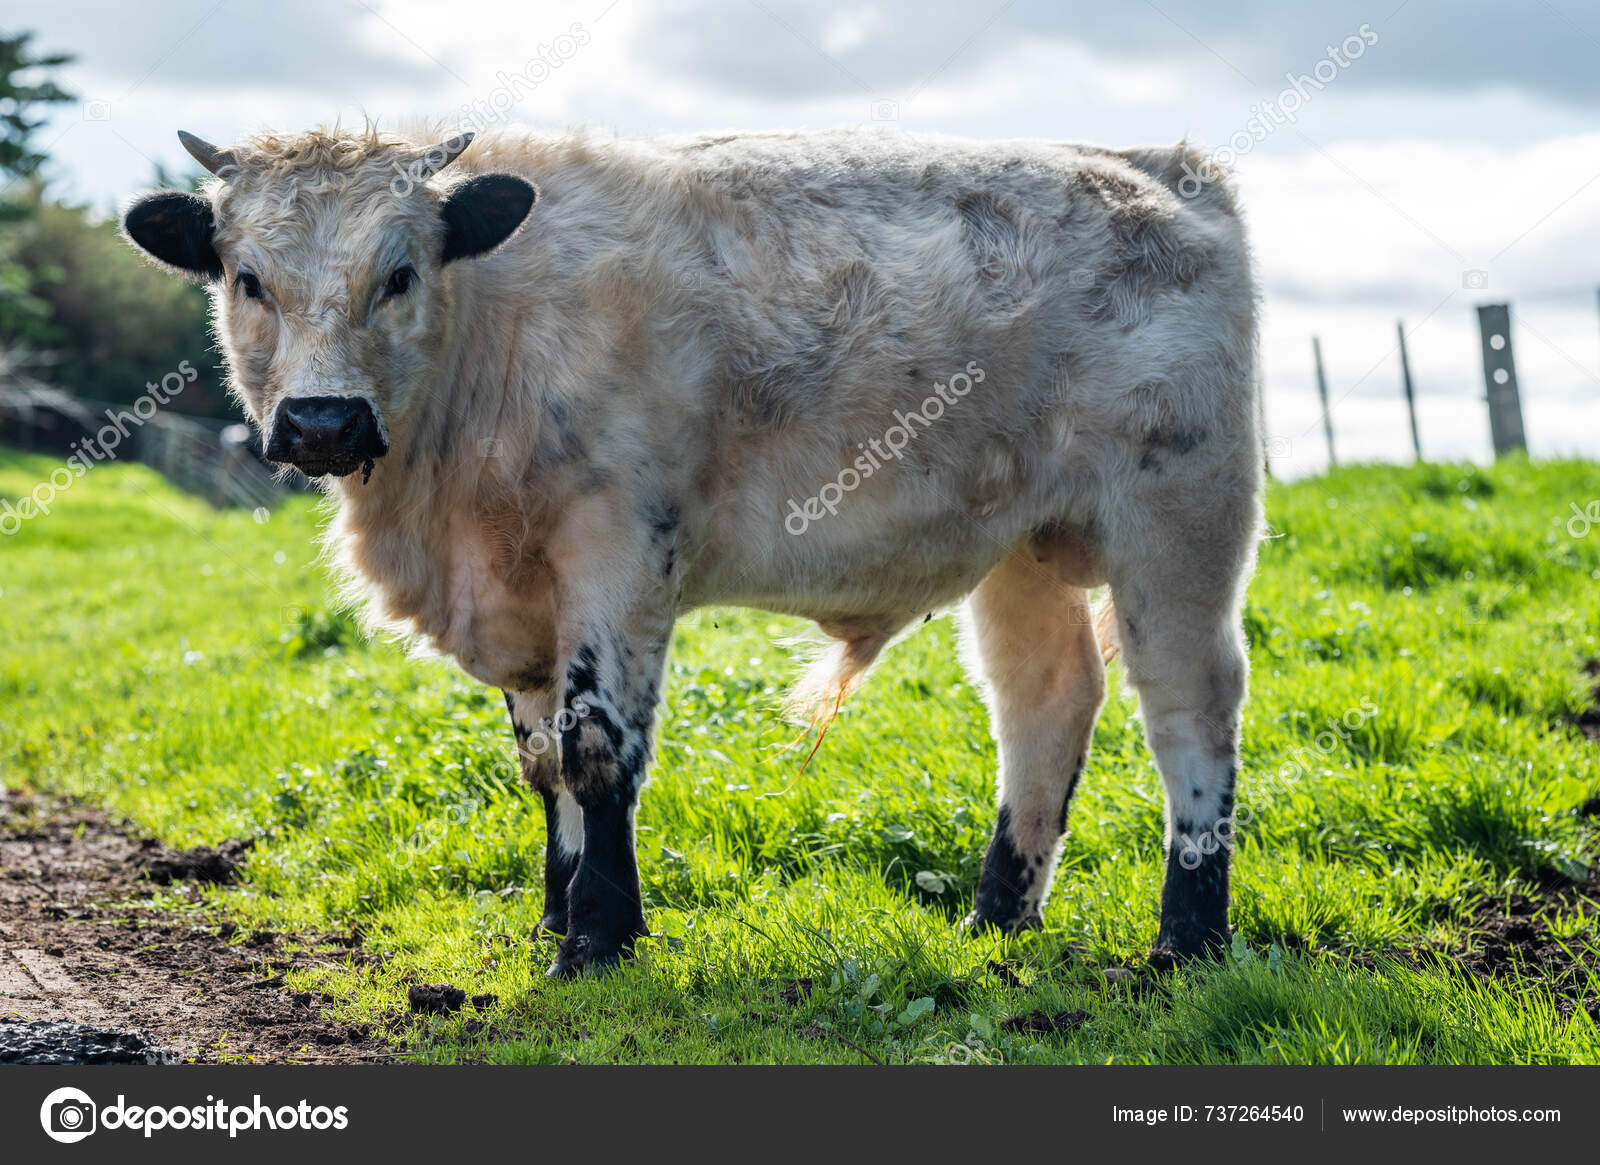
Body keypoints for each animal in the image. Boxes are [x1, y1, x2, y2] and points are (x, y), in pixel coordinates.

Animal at [122, 123, 1262, 978]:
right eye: (248, 278)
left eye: (399, 273)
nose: (323, 422)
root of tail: (1161, 166)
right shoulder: (519, 594)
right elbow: (541, 761)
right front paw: (555, 911)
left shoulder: (617, 551)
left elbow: (594, 750)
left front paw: (598, 937)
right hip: (1022, 545)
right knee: (1044, 701)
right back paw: (996, 918)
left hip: (1180, 520)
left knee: (1186, 703)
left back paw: (1186, 939)